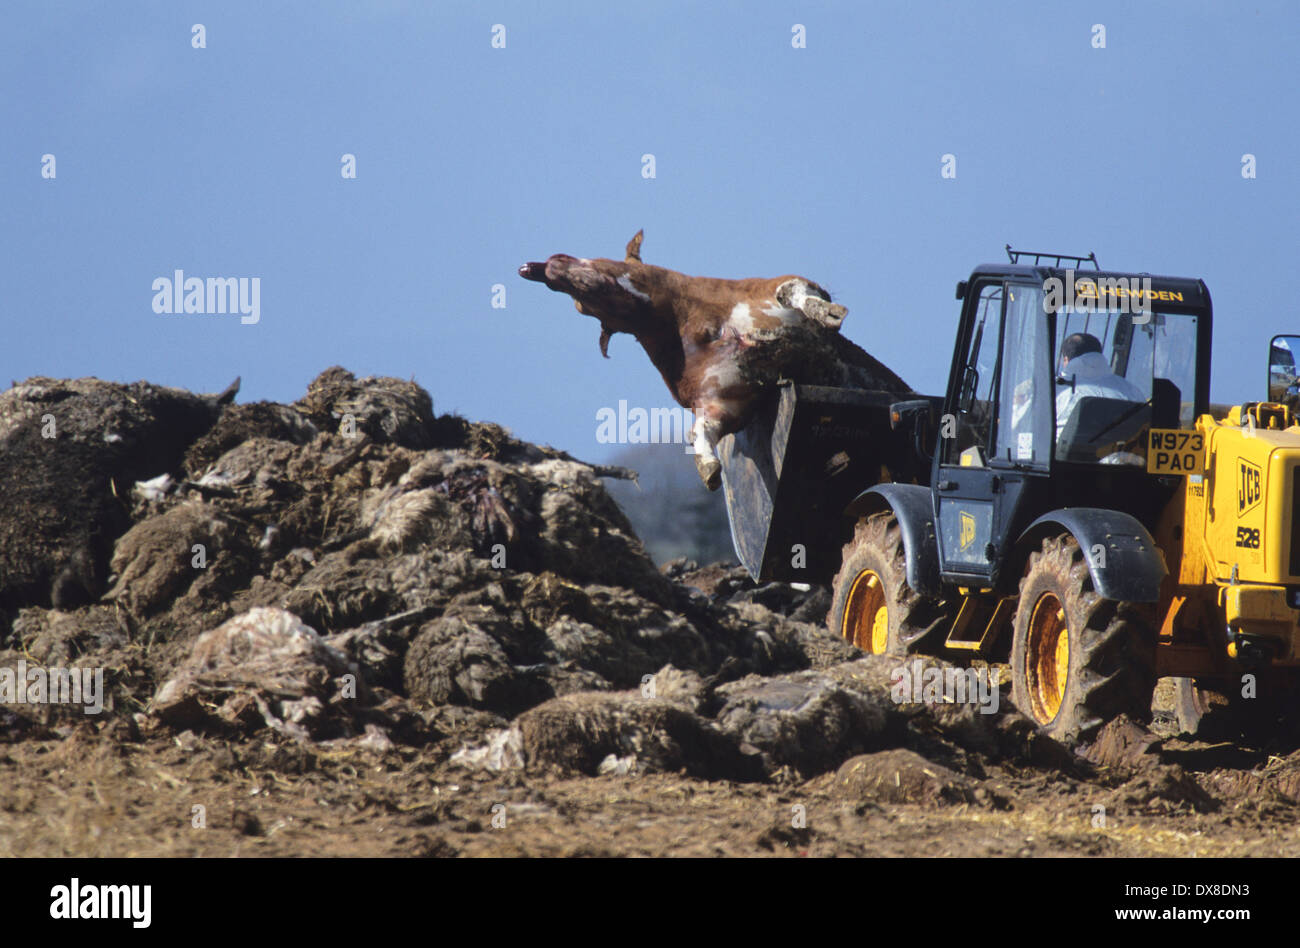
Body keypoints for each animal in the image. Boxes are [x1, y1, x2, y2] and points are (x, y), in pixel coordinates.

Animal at [520, 231, 911, 489]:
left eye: (597, 259)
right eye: (584, 310)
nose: (537, 267)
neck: (697, 322)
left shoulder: (784, 286)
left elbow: (796, 294)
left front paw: (828, 314)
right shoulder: (724, 402)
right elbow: (700, 431)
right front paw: (708, 468)